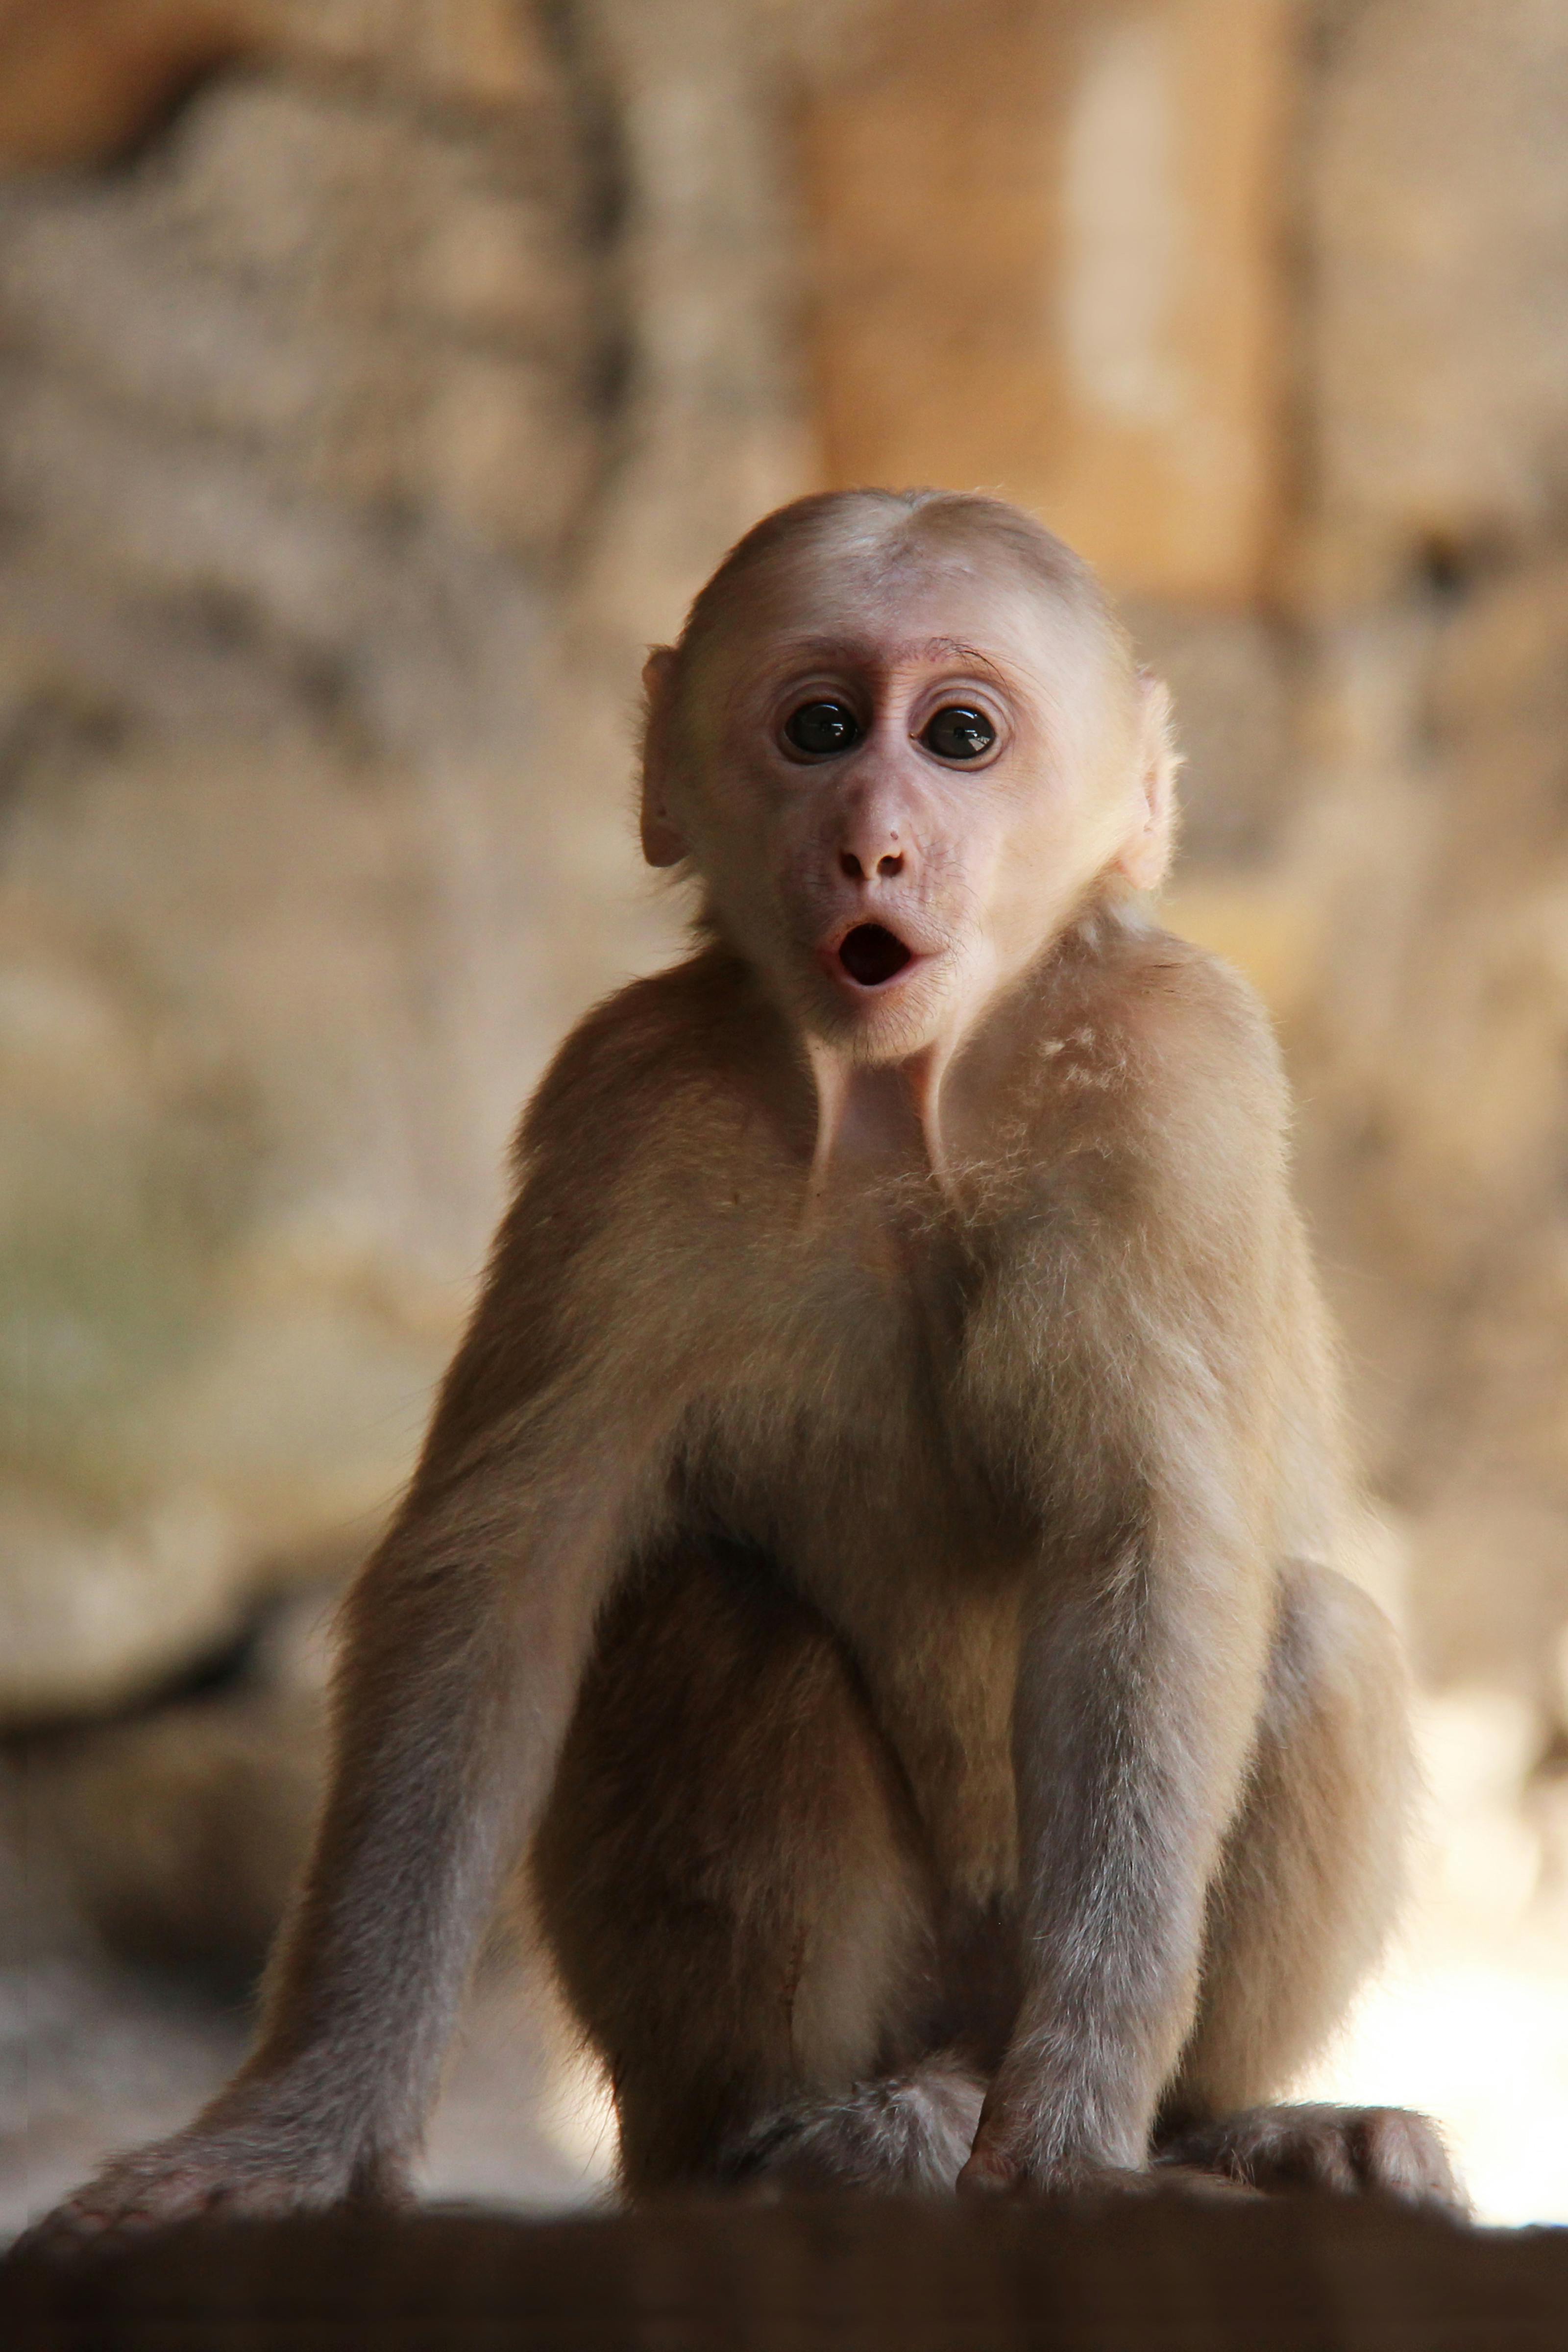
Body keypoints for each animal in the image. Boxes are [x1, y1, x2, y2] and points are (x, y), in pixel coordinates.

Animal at [34, 488, 1459, 2236]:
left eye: (960, 736)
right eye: (821, 728)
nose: (872, 842)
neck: (903, 1110)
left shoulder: (1173, 1071)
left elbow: (1150, 1557)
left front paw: (1075, 2128)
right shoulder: (622, 1114)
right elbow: (496, 1582)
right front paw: (300, 2123)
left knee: (1311, 1634)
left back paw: (1217, 2127)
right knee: (699, 1617)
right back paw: (804, 2136)